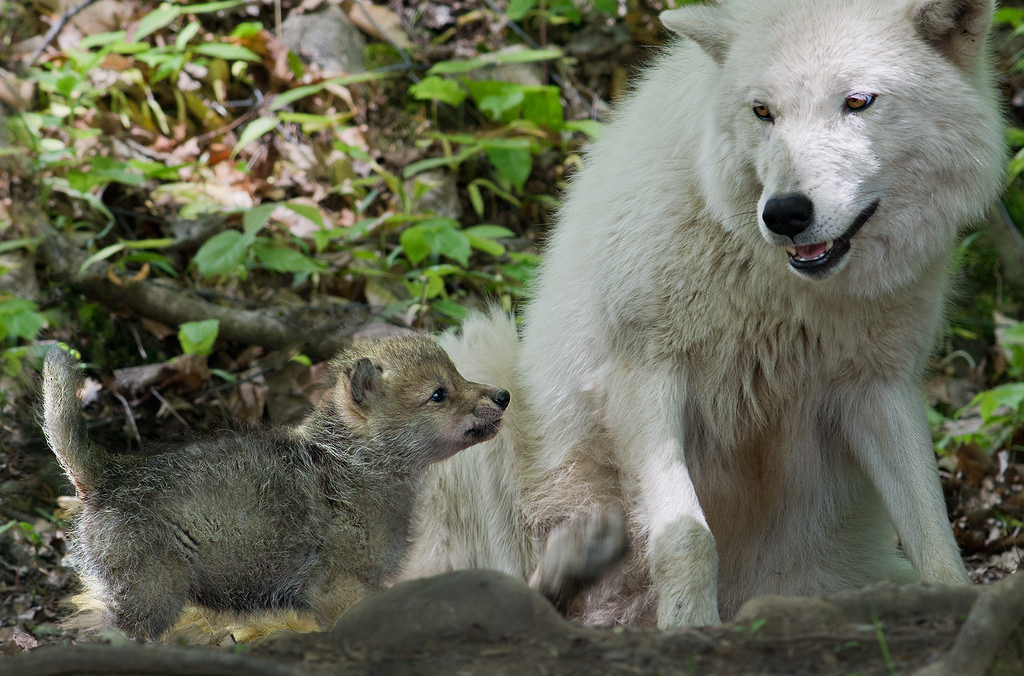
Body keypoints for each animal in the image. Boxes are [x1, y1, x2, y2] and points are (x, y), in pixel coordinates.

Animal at [401, 0, 1007, 627]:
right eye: (762, 111)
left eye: (857, 102)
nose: (784, 213)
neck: (781, 291)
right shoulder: (643, 376)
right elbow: (687, 535)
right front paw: (690, 627)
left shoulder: (880, 386)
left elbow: (936, 536)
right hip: (478, 367)